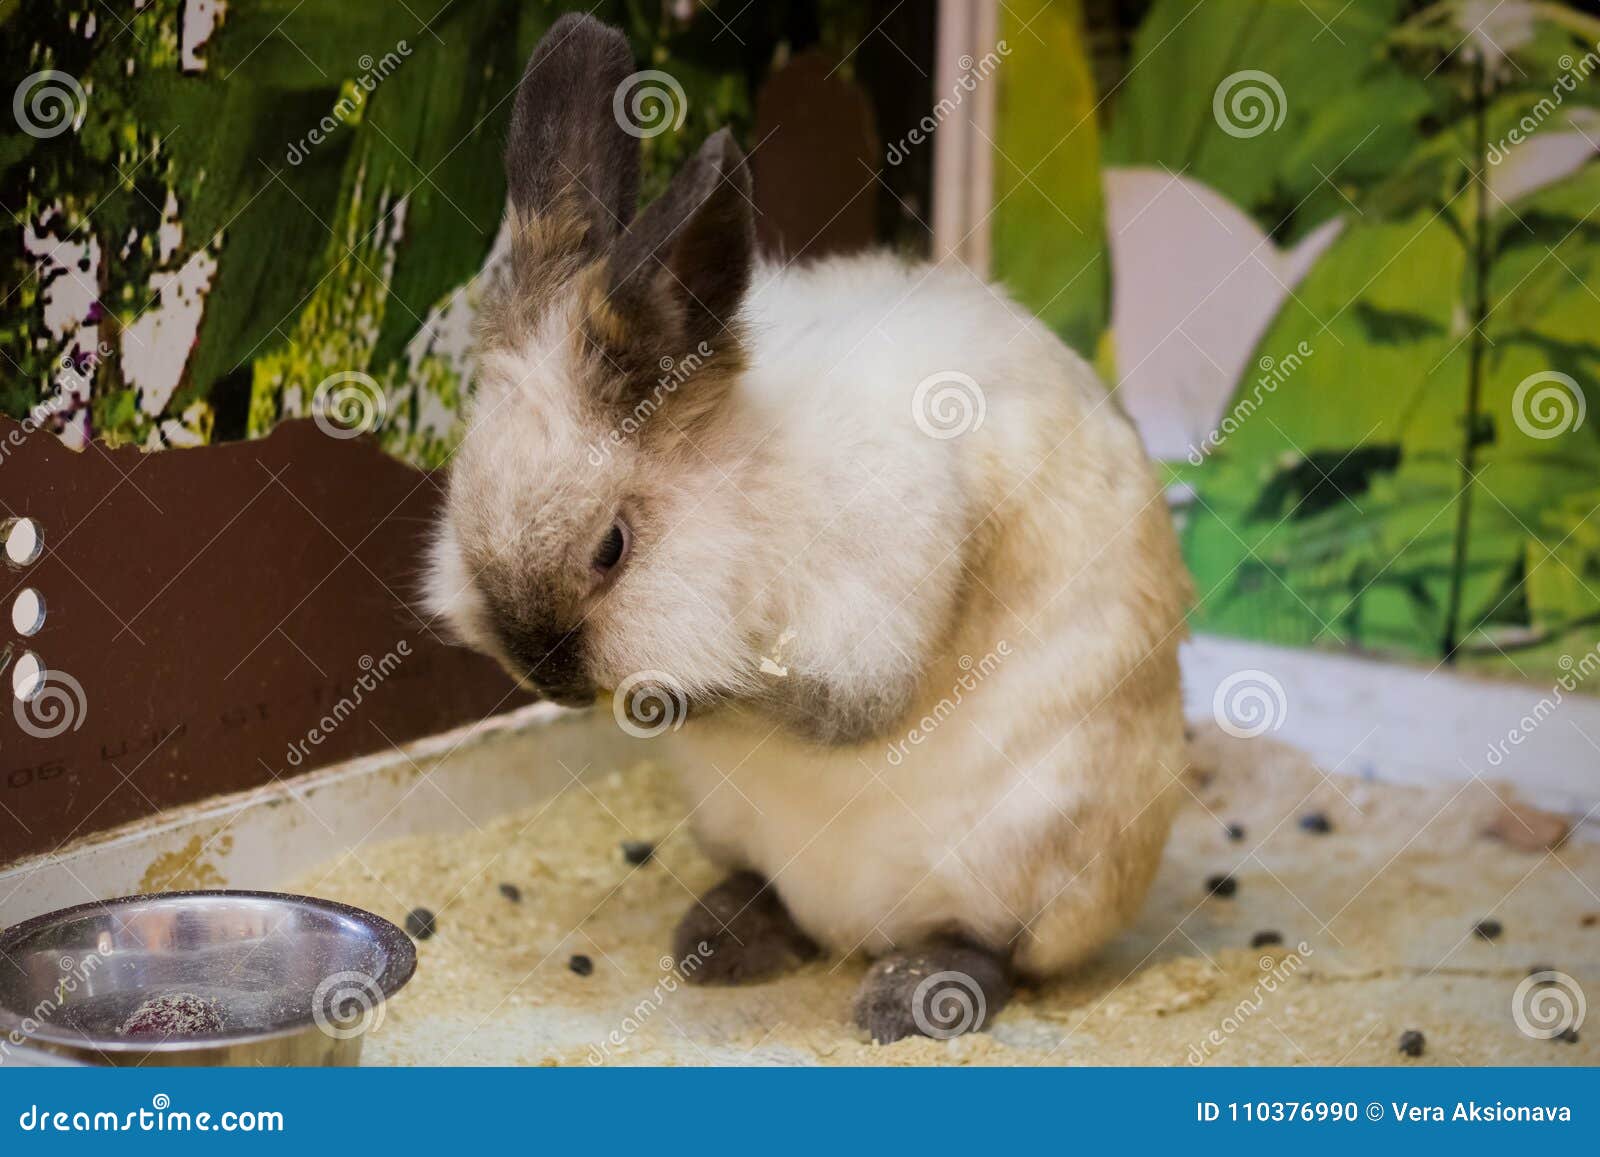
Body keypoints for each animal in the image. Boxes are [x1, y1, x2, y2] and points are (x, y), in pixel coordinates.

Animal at [424, 13, 1192, 1044]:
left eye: (612, 547)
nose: (544, 670)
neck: (740, 493)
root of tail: (859, 923)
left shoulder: (877, 599)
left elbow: (838, 708)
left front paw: (681, 692)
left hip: (1040, 854)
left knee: (994, 944)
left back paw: (909, 992)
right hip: (730, 821)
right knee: (776, 896)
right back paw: (717, 940)